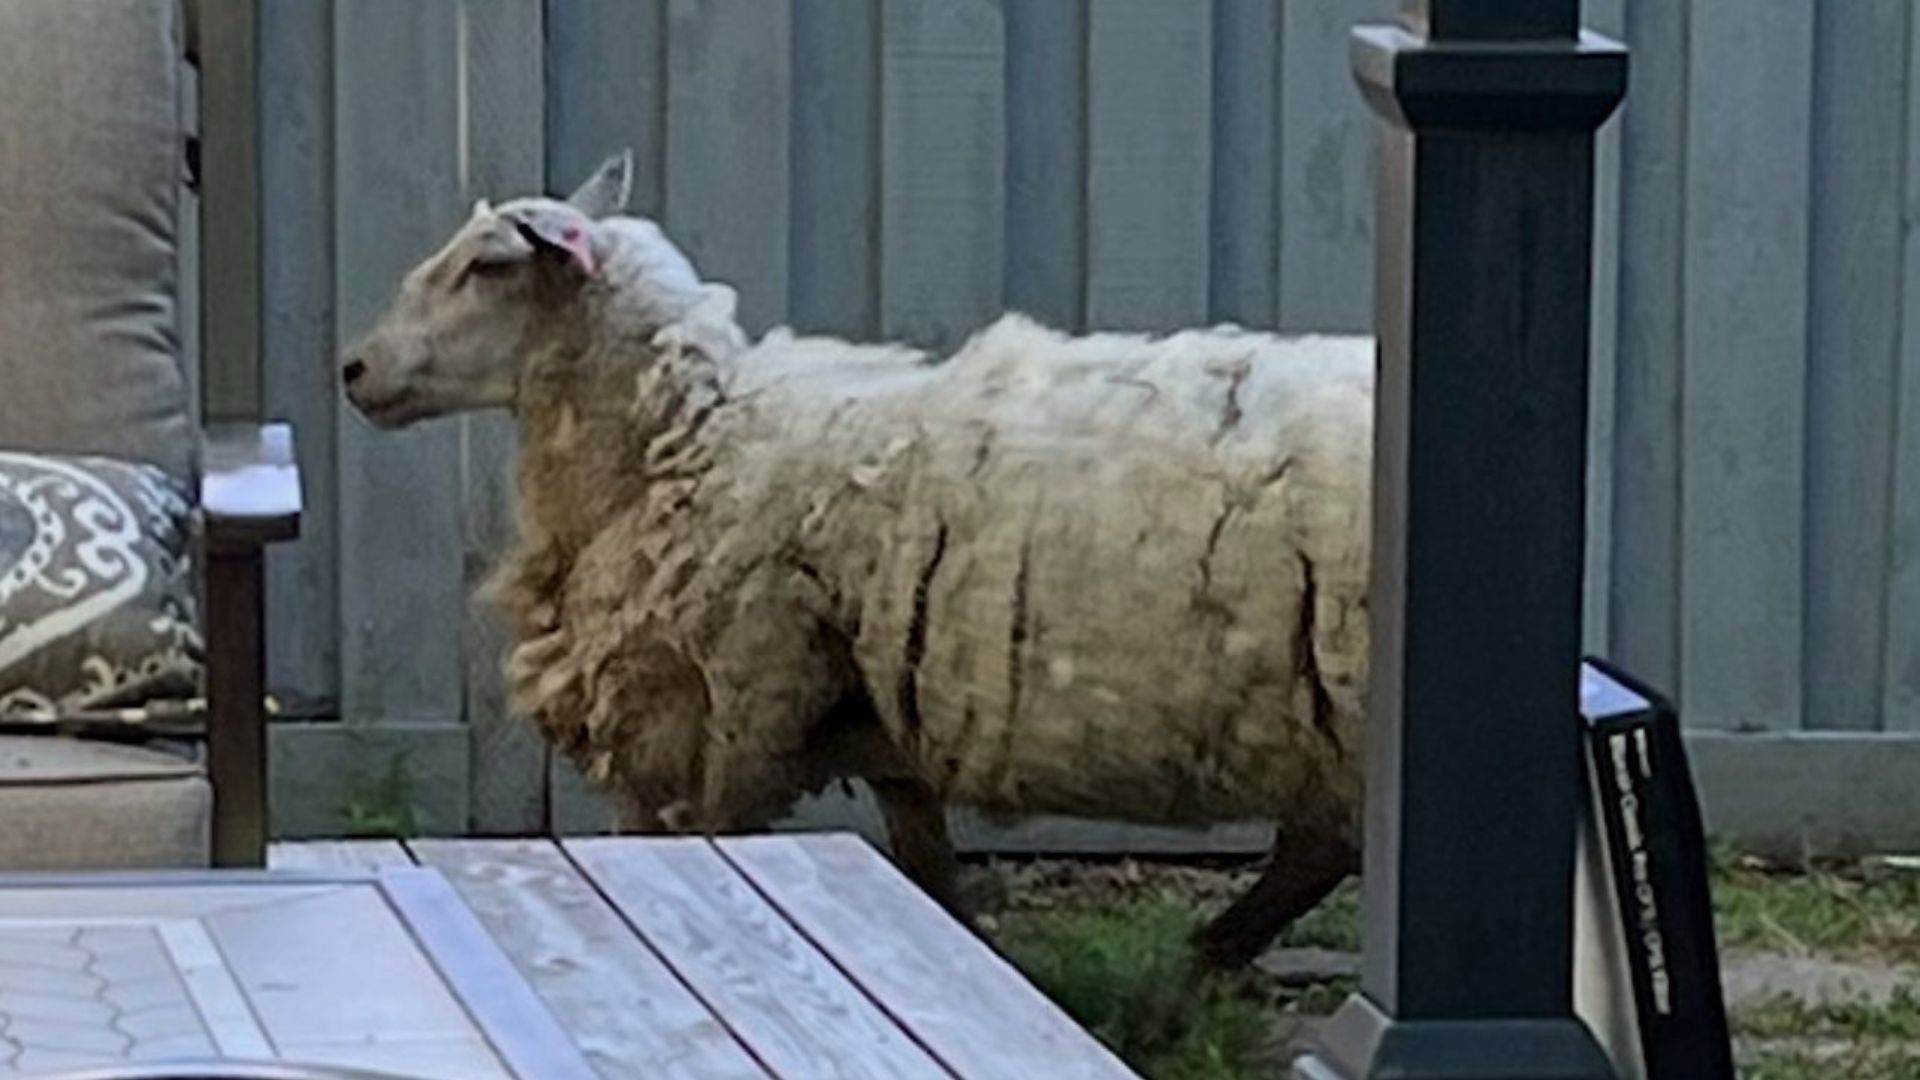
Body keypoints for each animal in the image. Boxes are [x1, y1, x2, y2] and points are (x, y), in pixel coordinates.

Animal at [340, 150, 1374, 970]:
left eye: (488, 265)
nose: (352, 369)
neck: (680, 441)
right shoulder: (881, 719)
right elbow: (926, 864)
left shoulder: (713, 727)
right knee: (1319, 849)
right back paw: (1200, 966)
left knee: (1322, 850)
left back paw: (1198, 964)